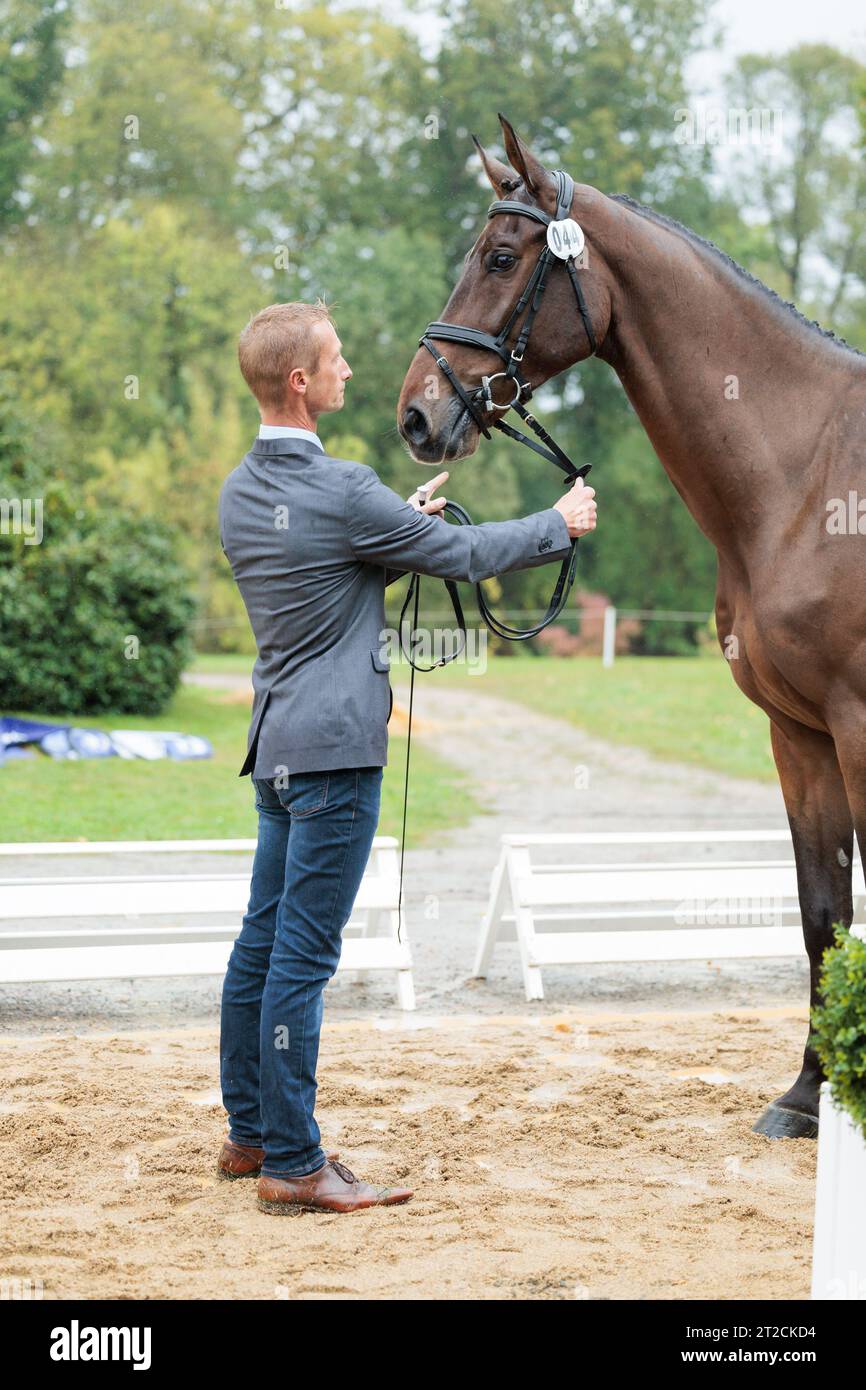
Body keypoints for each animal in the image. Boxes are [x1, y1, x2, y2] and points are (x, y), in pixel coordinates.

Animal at [396, 113, 866, 1140]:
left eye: (501, 256)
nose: (416, 413)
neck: (812, 474)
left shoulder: (858, 727)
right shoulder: (800, 735)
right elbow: (822, 913)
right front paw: (806, 1098)